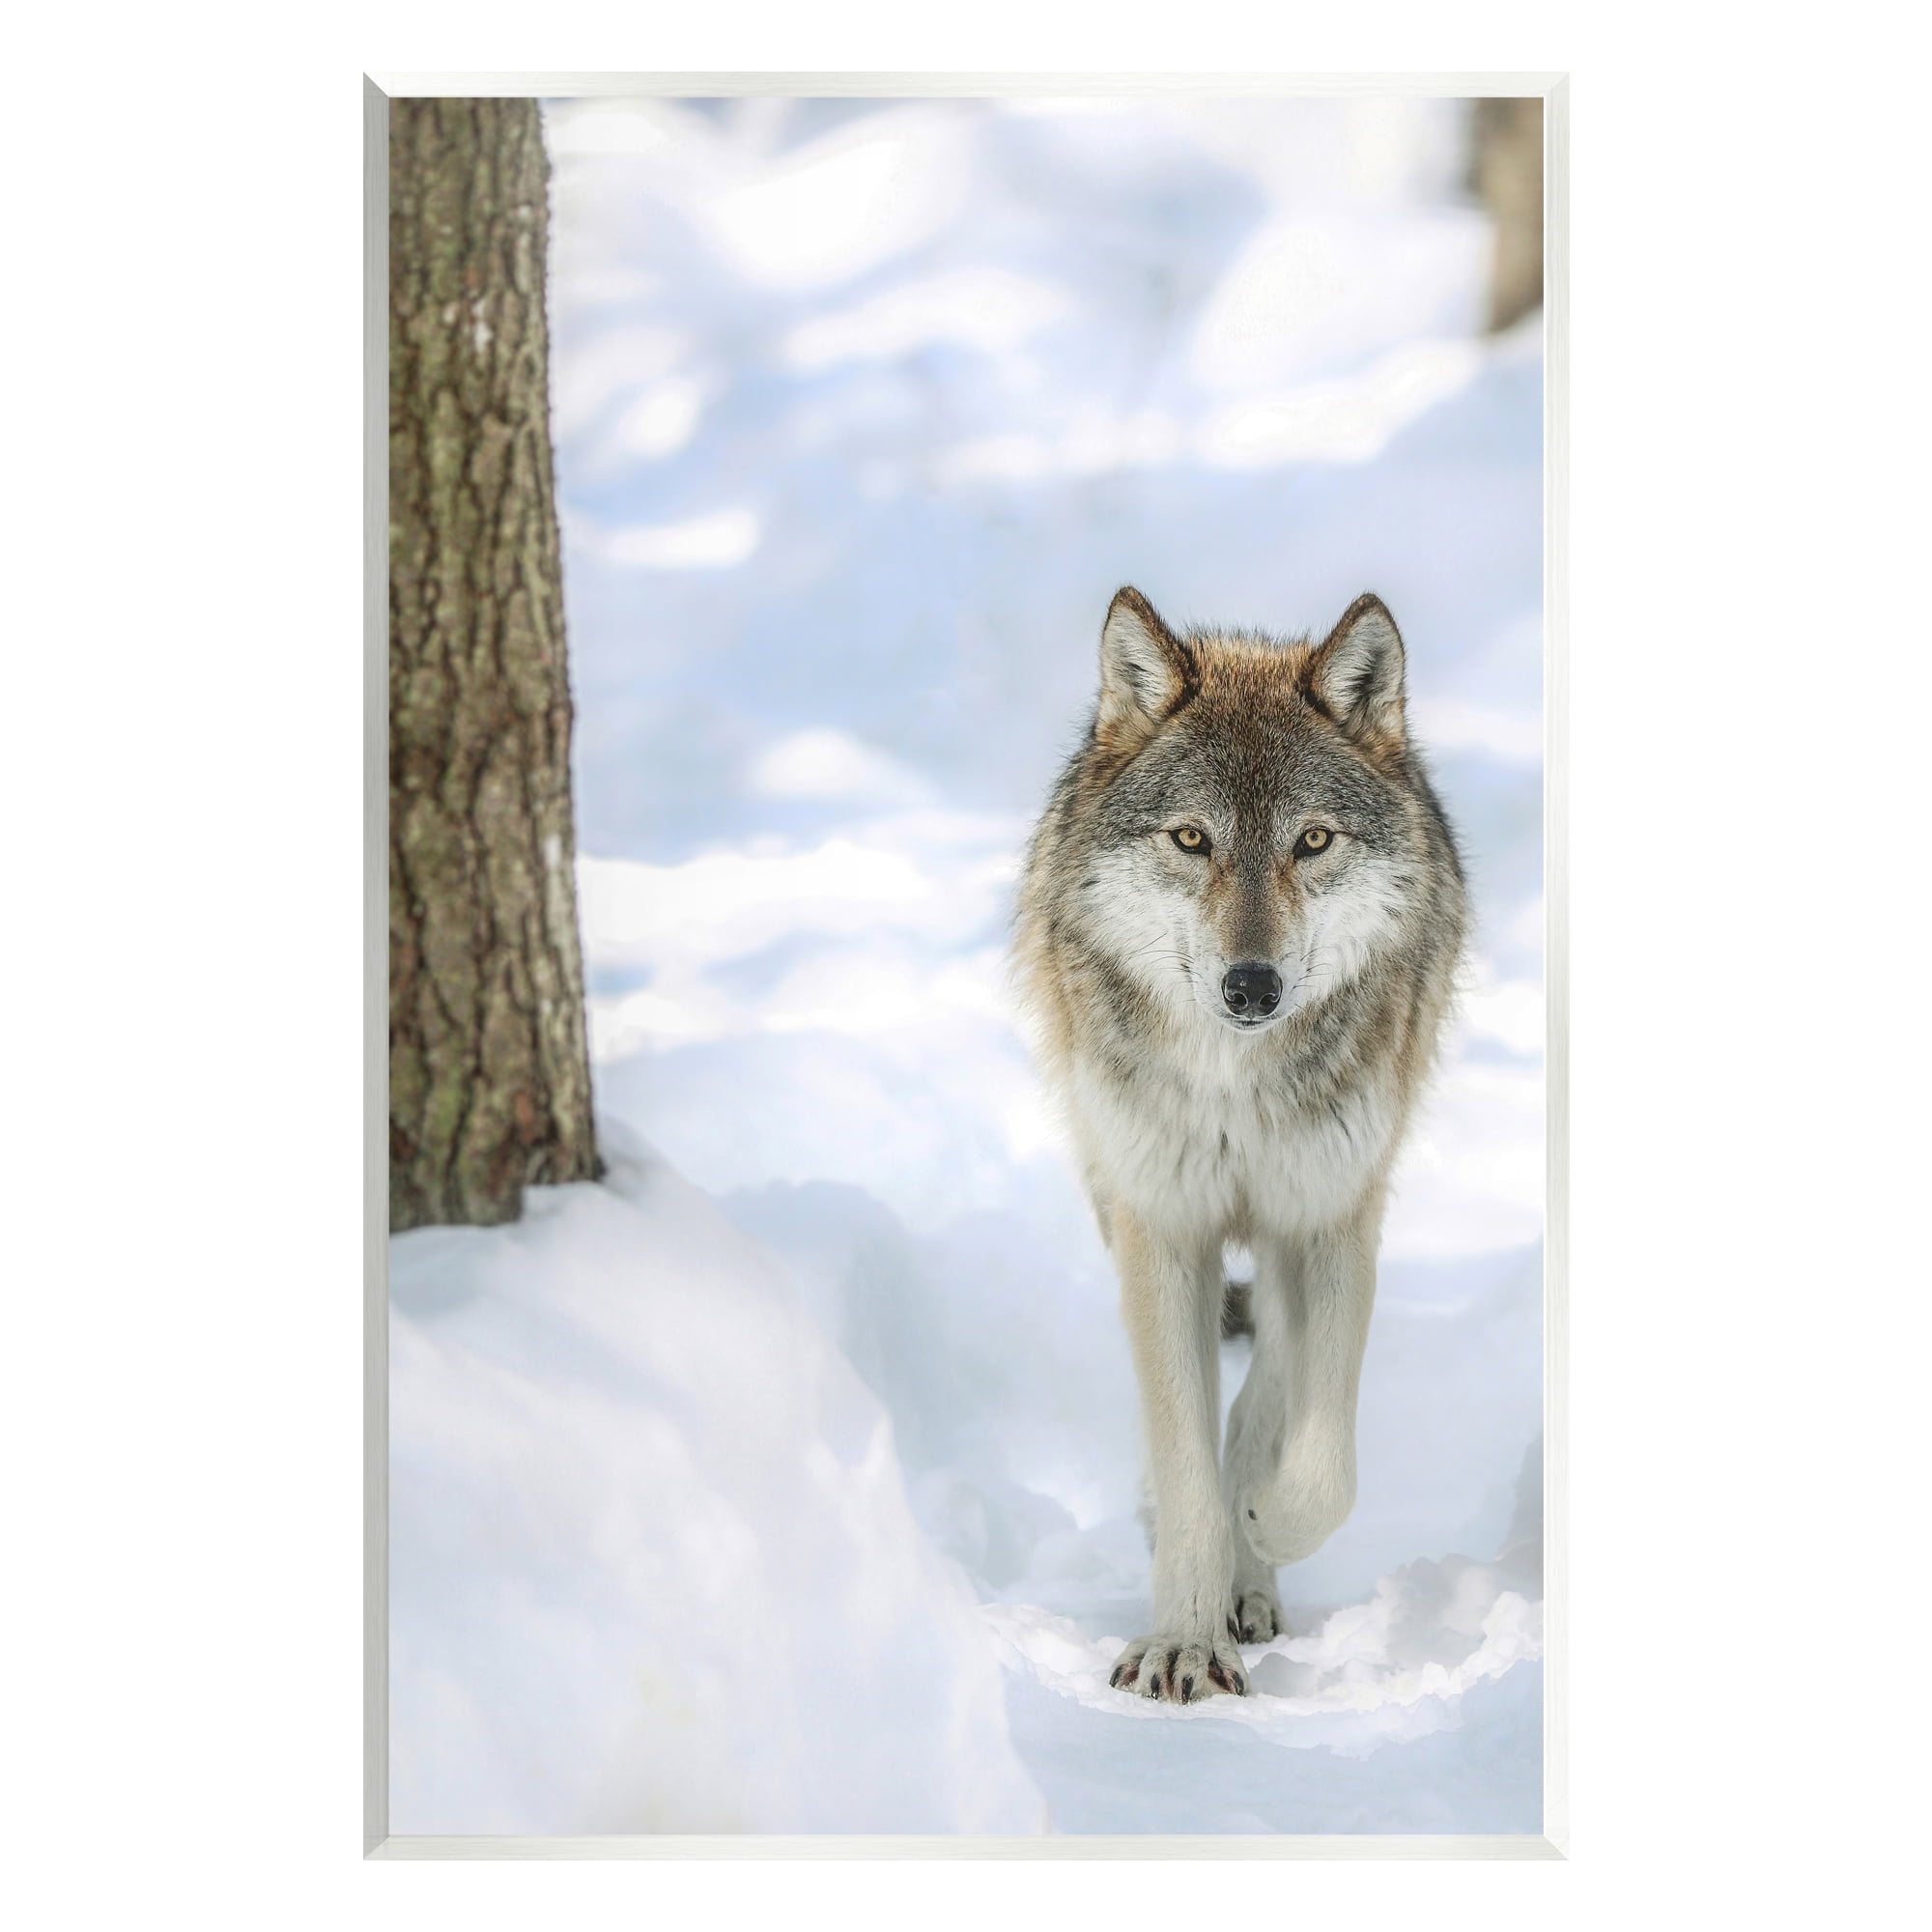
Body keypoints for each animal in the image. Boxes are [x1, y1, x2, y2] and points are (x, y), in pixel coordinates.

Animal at [1014, 586, 1467, 1701]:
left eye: (1311, 840)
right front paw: (1180, 1638)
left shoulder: (1331, 1217)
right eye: (1190, 838)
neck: (1236, 1086)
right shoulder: (1162, 1226)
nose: (1251, 985)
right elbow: (1182, 1454)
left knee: (1272, 1371)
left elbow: (1321, 1460)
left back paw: (1251, 1565)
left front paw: (1258, 1525)